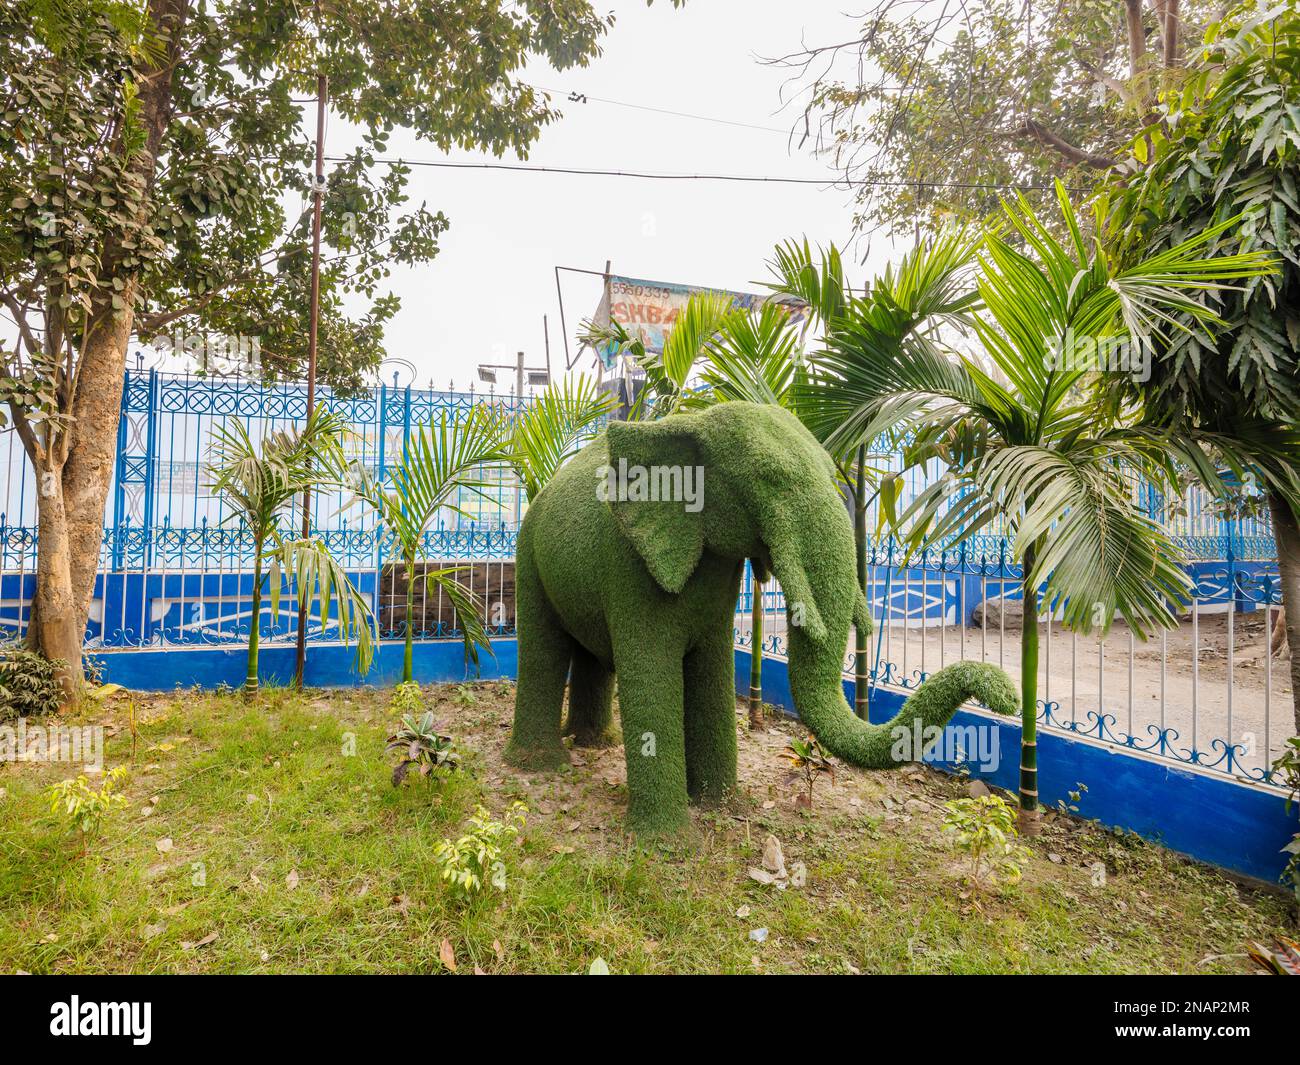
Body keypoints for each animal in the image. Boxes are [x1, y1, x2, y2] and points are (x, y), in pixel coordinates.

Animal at [504, 402, 1019, 836]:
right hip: (527, 553)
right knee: (544, 650)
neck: (690, 421)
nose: (1007, 695)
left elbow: (711, 668)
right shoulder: (629, 565)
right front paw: (668, 845)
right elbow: (650, 672)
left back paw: (595, 744)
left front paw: (720, 806)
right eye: (771, 476)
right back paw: (541, 764)